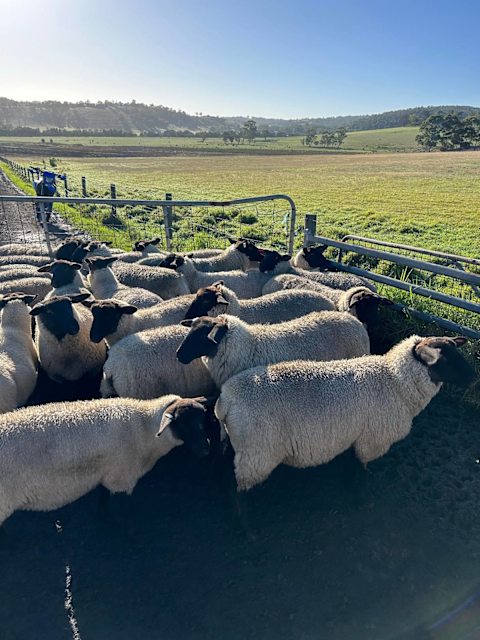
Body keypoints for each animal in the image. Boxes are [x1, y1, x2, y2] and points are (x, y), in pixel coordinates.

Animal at [0, 394, 214, 527]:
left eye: (202, 420)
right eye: (183, 424)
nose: (206, 449)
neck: (144, 429)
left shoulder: (108, 473)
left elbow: (103, 496)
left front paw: (103, 519)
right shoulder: (123, 477)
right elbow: (124, 508)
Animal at [215, 335, 476, 491]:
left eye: (457, 352)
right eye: (444, 358)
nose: (474, 377)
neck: (394, 380)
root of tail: (226, 399)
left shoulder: (358, 438)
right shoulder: (371, 441)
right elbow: (361, 469)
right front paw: (360, 492)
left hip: (240, 447)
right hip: (256, 453)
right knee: (239, 493)